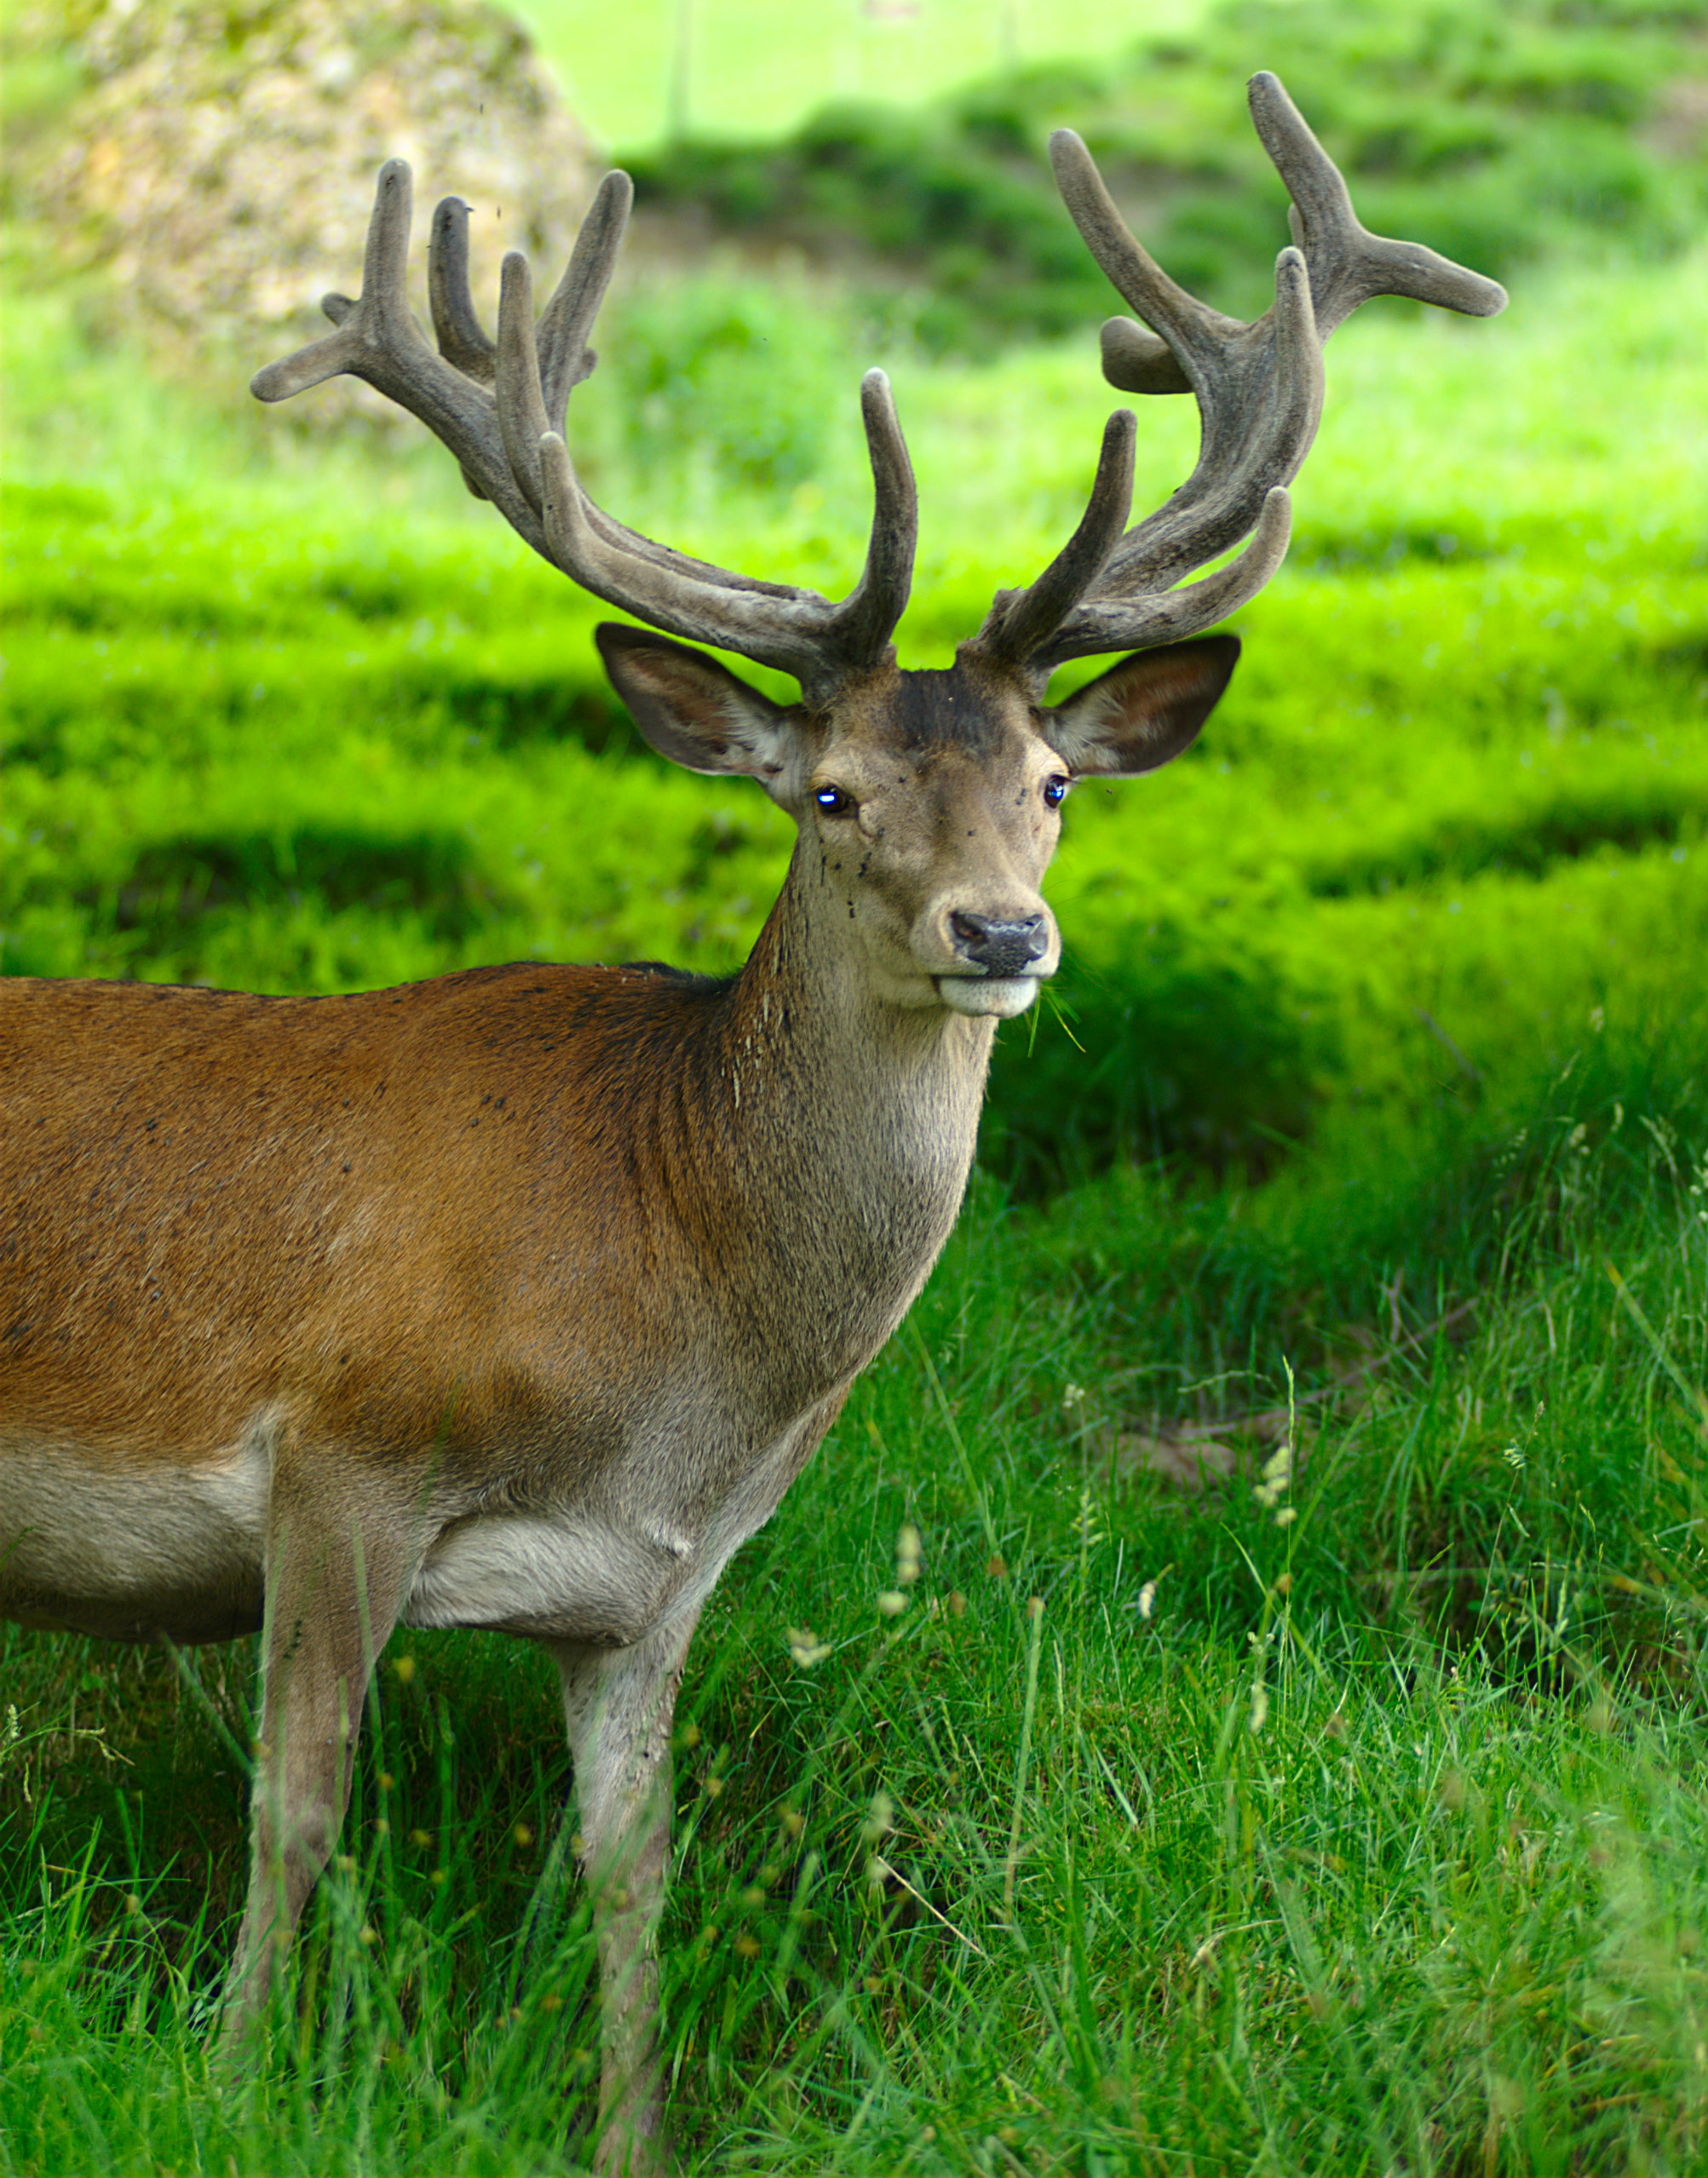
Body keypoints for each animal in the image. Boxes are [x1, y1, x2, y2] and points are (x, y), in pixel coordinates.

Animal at [0, 73, 1503, 2176]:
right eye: (833, 794)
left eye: (1053, 782)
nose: (1000, 932)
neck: (671, 1328)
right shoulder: (341, 1453)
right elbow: (293, 1815)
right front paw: (230, 2089)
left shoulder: (656, 1580)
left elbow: (634, 1869)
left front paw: (629, 2126)